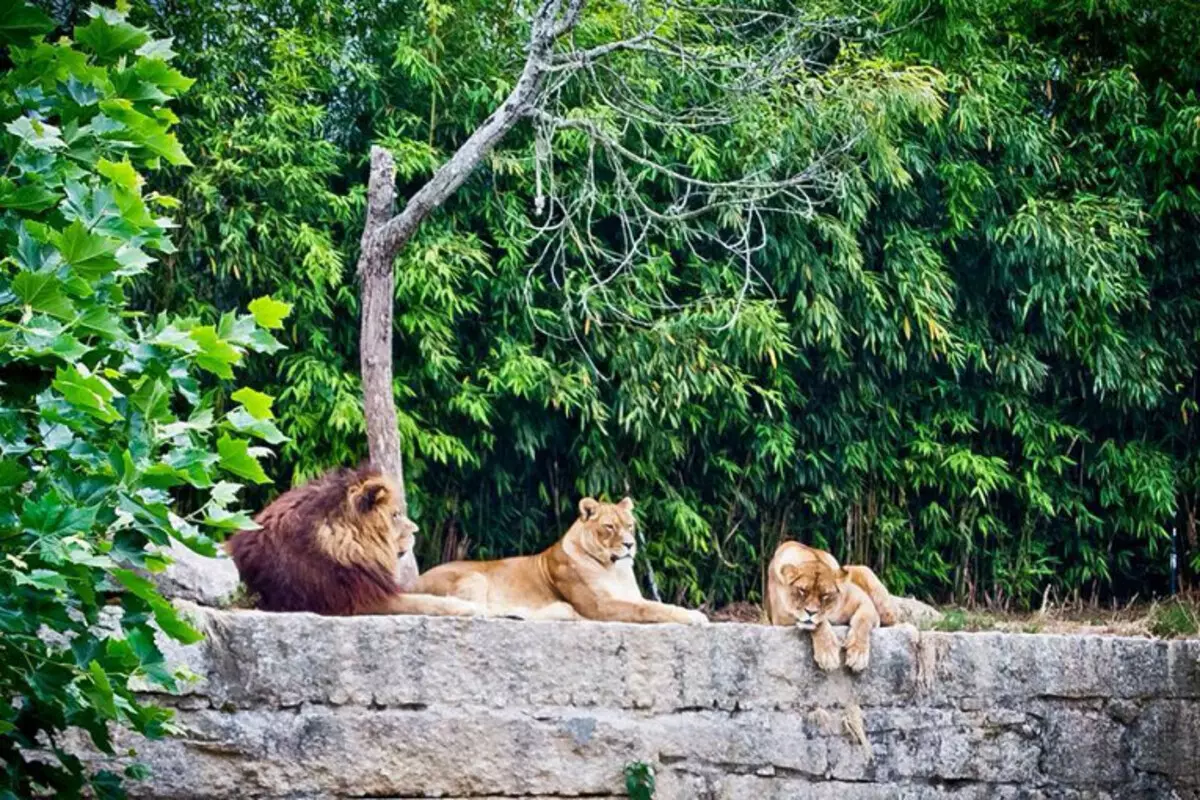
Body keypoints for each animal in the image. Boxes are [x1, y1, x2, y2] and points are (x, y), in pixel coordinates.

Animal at [415, 494, 705, 623]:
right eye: (610, 527)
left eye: (630, 526)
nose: (630, 544)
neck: (614, 569)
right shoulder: (599, 606)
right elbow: (650, 609)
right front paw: (693, 615)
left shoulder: (630, 596)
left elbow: (652, 604)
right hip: (475, 577)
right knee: (477, 609)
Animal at [763, 542, 897, 671]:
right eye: (802, 590)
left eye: (825, 595)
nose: (810, 612)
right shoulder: (781, 618)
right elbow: (821, 623)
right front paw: (828, 655)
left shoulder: (865, 602)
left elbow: (863, 621)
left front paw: (858, 654)